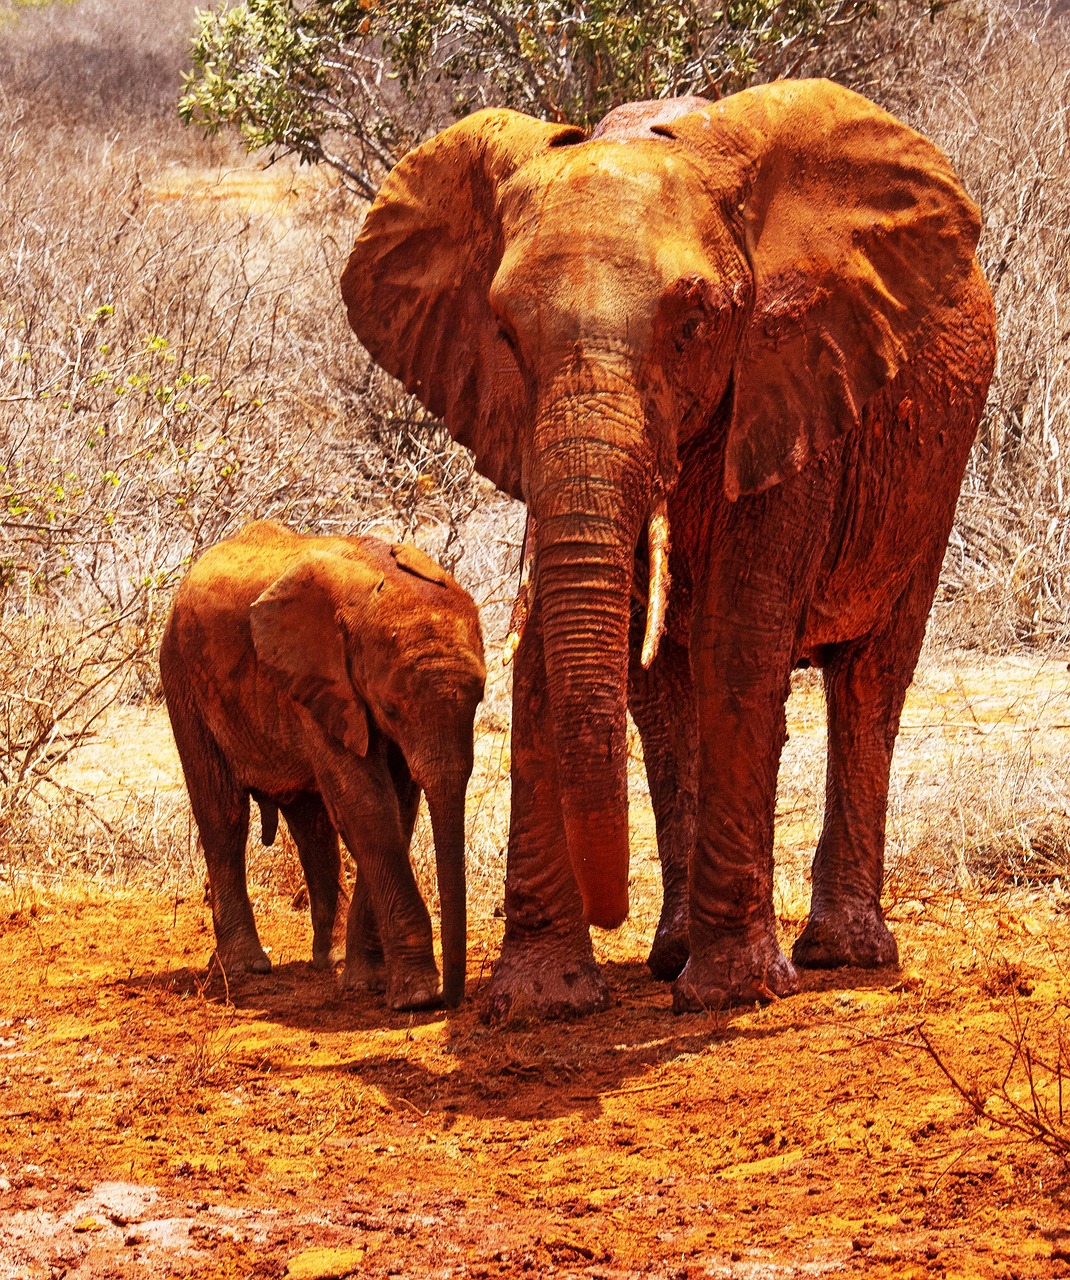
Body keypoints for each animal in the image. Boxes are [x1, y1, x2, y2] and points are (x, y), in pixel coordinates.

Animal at [160, 520, 486, 1009]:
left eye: (481, 699)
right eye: (392, 709)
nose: (452, 999)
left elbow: (394, 809)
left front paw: (368, 982)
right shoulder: (323, 679)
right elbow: (367, 806)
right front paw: (415, 997)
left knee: (313, 827)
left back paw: (329, 959)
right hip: (182, 673)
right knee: (223, 816)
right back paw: (246, 968)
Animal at [340, 79, 996, 1021]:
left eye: (694, 323)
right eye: (504, 334)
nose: (609, 908)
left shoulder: (793, 380)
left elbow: (740, 639)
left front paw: (732, 995)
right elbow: (550, 655)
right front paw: (542, 1002)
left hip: (933, 470)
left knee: (870, 681)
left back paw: (838, 954)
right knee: (662, 700)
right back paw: (673, 954)